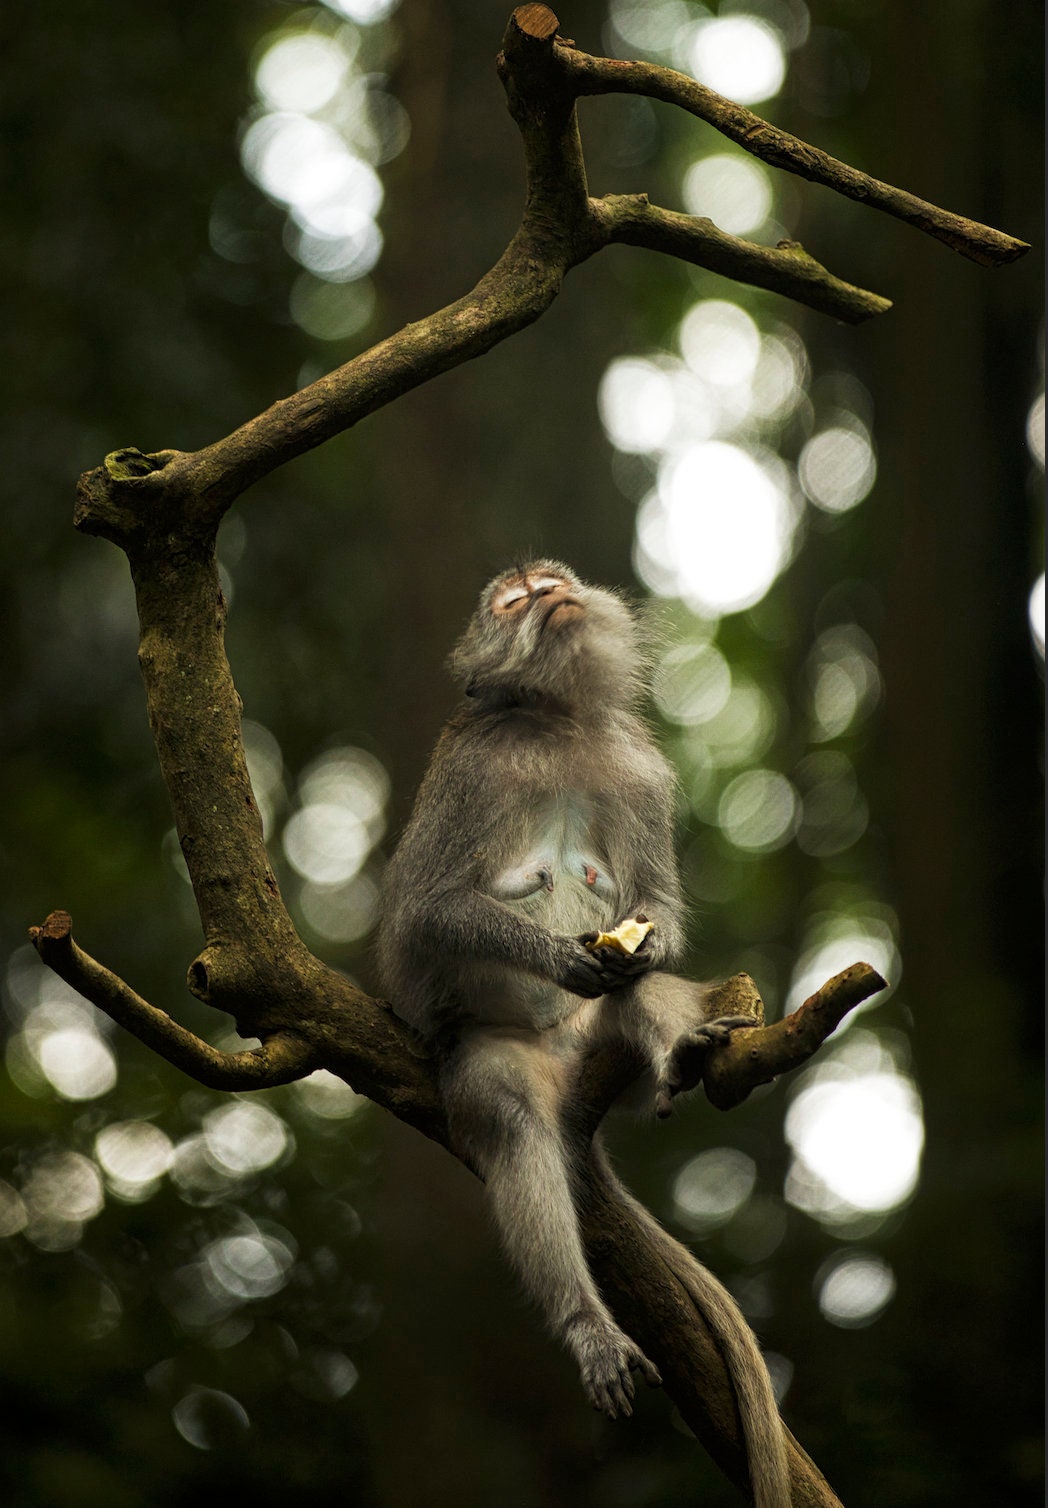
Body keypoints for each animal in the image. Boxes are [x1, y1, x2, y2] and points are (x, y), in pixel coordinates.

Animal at [377, 560, 790, 1508]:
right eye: (513, 601)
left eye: (547, 581)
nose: (544, 593)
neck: (559, 723)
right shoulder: (471, 764)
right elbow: (431, 907)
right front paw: (560, 959)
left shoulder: (641, 767)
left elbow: (654, 912)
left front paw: (650, 953)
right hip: (497, 1047)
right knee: (513, 1119)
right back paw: (585, 1323)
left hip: (606, 1053)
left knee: (642, 1001)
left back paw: (680, 1051)